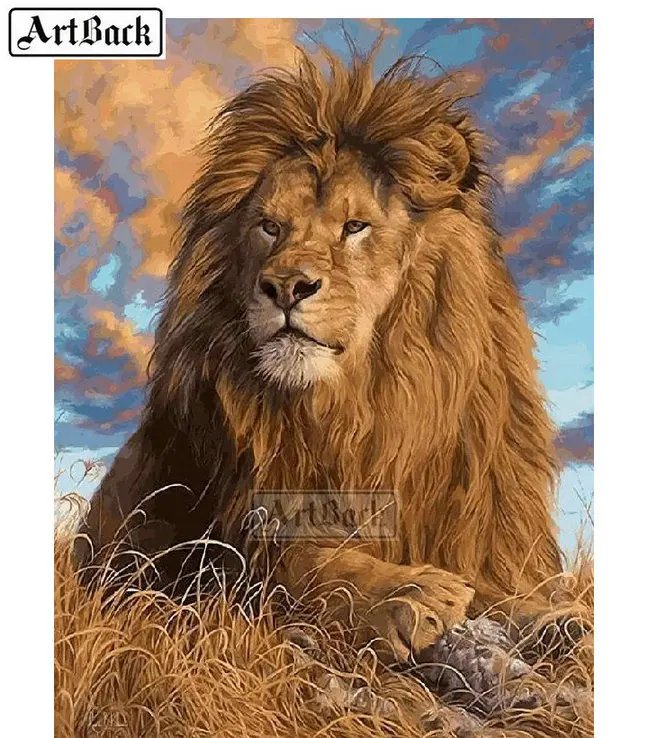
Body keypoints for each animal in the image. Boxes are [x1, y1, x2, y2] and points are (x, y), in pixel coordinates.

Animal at [76, 51, 566, 664]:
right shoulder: (228, 537)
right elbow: (312, 563)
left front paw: (553, 617)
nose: (286, 286)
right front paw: (409, 593)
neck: (359, 406)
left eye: (355, 227)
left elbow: (503, 588)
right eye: (269, 226)